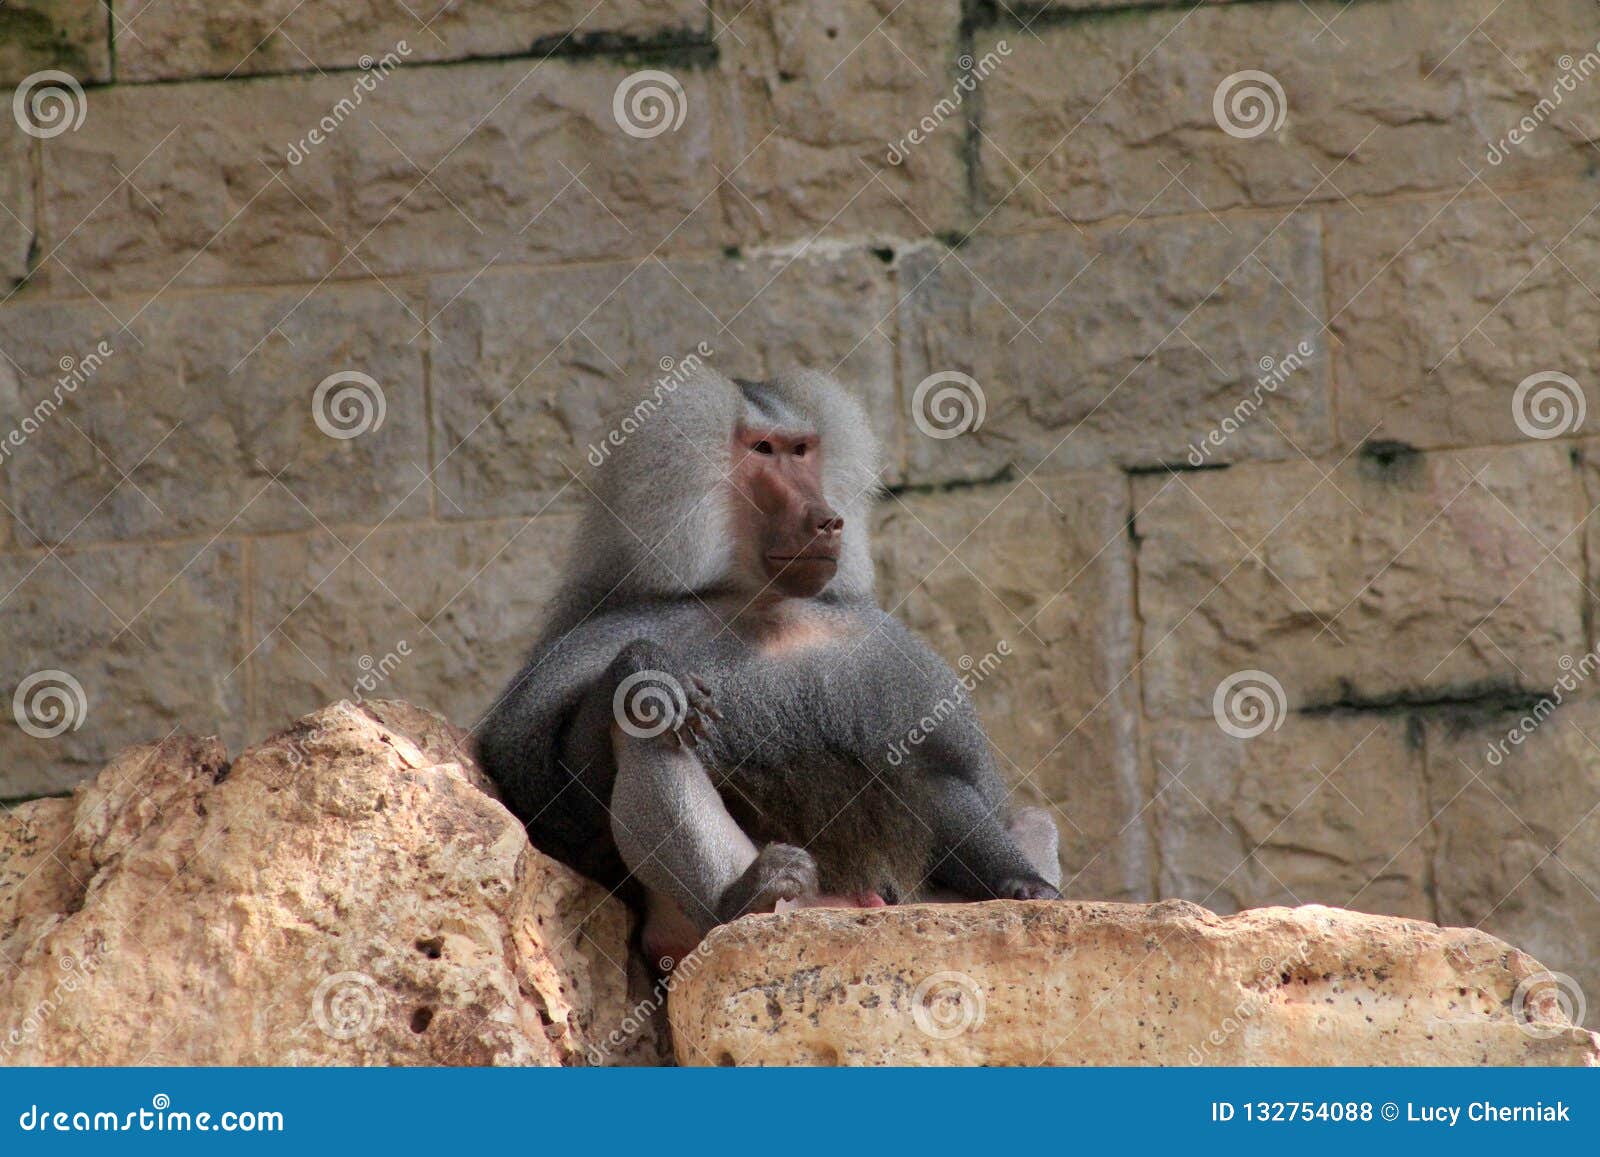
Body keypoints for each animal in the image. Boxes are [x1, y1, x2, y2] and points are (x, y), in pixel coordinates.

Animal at [475, 367, 1062, 962]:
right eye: (763, 450)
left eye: (801, 450)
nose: (828, 521)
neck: (763, 605)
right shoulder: (603, 634)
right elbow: (554, 801)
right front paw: (643, 667)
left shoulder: (884, 653)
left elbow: (931, 775)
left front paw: (1023, 883)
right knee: (649, 726)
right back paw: (740, 898)